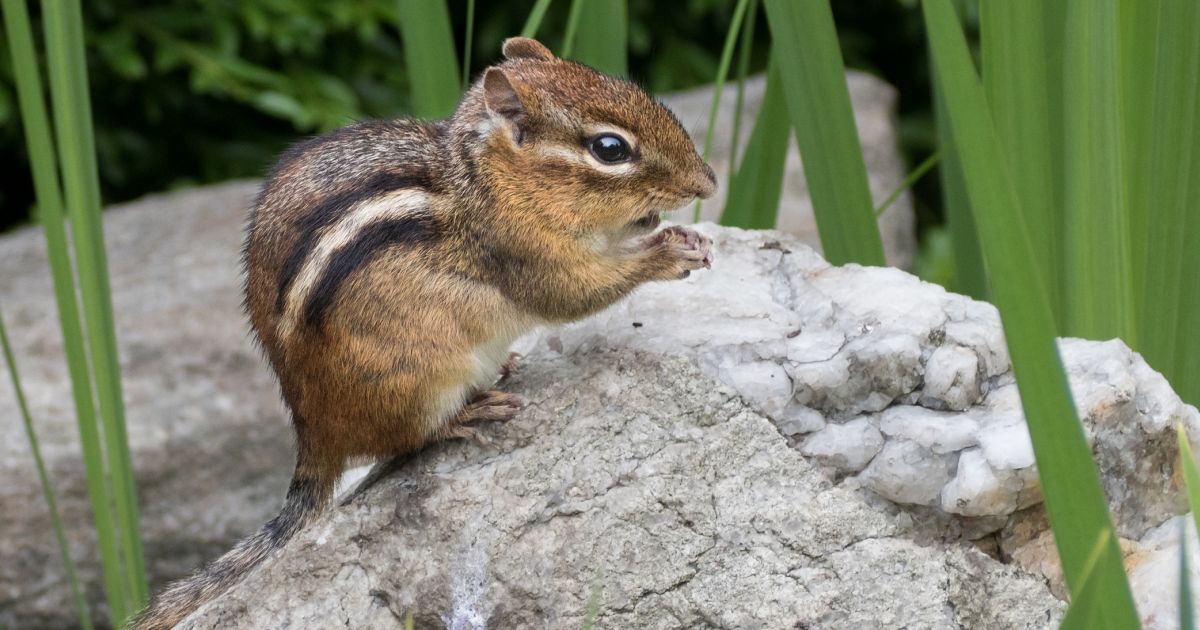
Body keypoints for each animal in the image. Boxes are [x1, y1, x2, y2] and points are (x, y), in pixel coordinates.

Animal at [133, 36, 715, 629]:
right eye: (610, 148)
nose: (708, 183)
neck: (489, 181)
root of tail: (312, 435)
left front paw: (683, 235)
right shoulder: (524, 253)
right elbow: (574, 294)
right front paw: (666, 253)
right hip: (420, 379)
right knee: (407, 440)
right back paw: (469, 412)